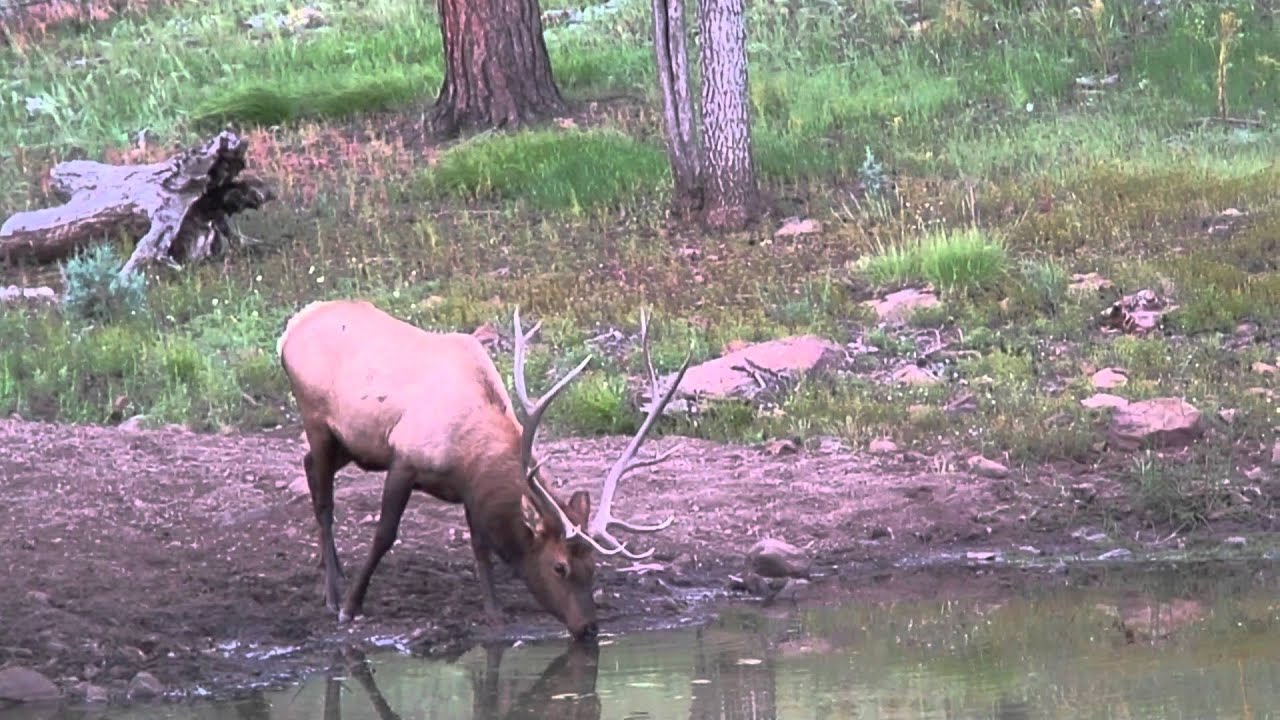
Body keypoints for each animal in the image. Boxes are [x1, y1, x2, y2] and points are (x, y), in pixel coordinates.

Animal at [276, 298, 690, 641]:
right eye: (559, 567)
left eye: (593, 567)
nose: (589, 629)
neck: (467, 446)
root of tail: (291, 327)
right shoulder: (405, 459)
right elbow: (384, 535)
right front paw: (351, 608)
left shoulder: (468, 487)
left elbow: (480, 545)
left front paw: (495, 615)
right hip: (317, 421)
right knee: (324, 498)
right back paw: (333, 592)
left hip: (352, 444)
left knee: (309, 467)